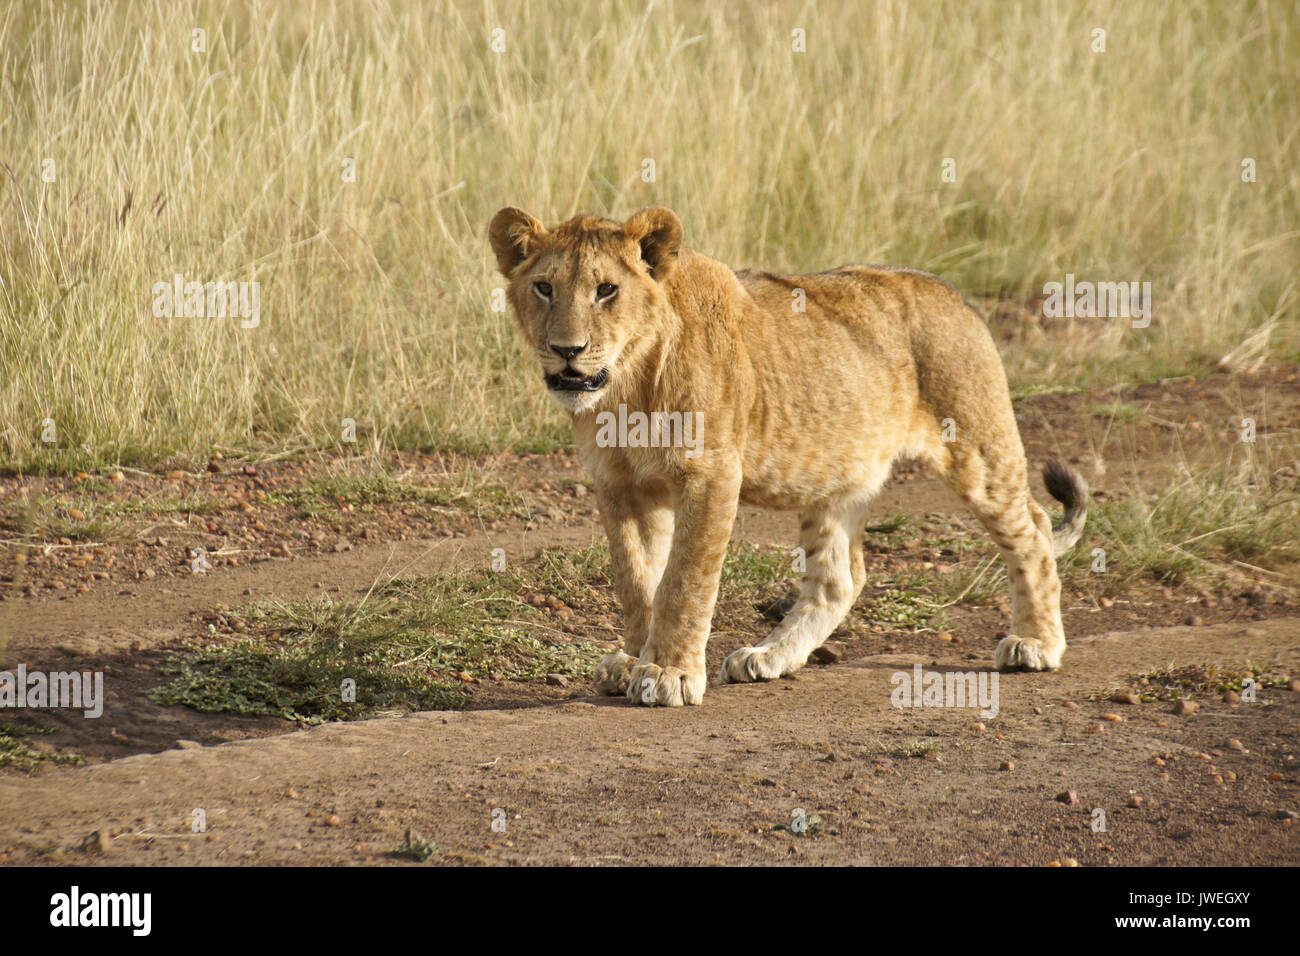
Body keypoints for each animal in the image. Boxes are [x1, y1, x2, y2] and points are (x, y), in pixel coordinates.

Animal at [489, 205, 1087, 707]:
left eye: (607, 290)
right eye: (544, 288)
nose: (566, 351)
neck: (625, 387)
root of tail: (954, 294)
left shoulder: (710, 474)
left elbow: (684, 580)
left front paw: (669, 674)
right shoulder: (619, 485)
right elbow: (638, 584)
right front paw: (636, 662)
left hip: (978, 450)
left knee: (1033, 531)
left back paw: (1036, 644)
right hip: (837, 479)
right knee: (840, 580)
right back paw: (768, 657)